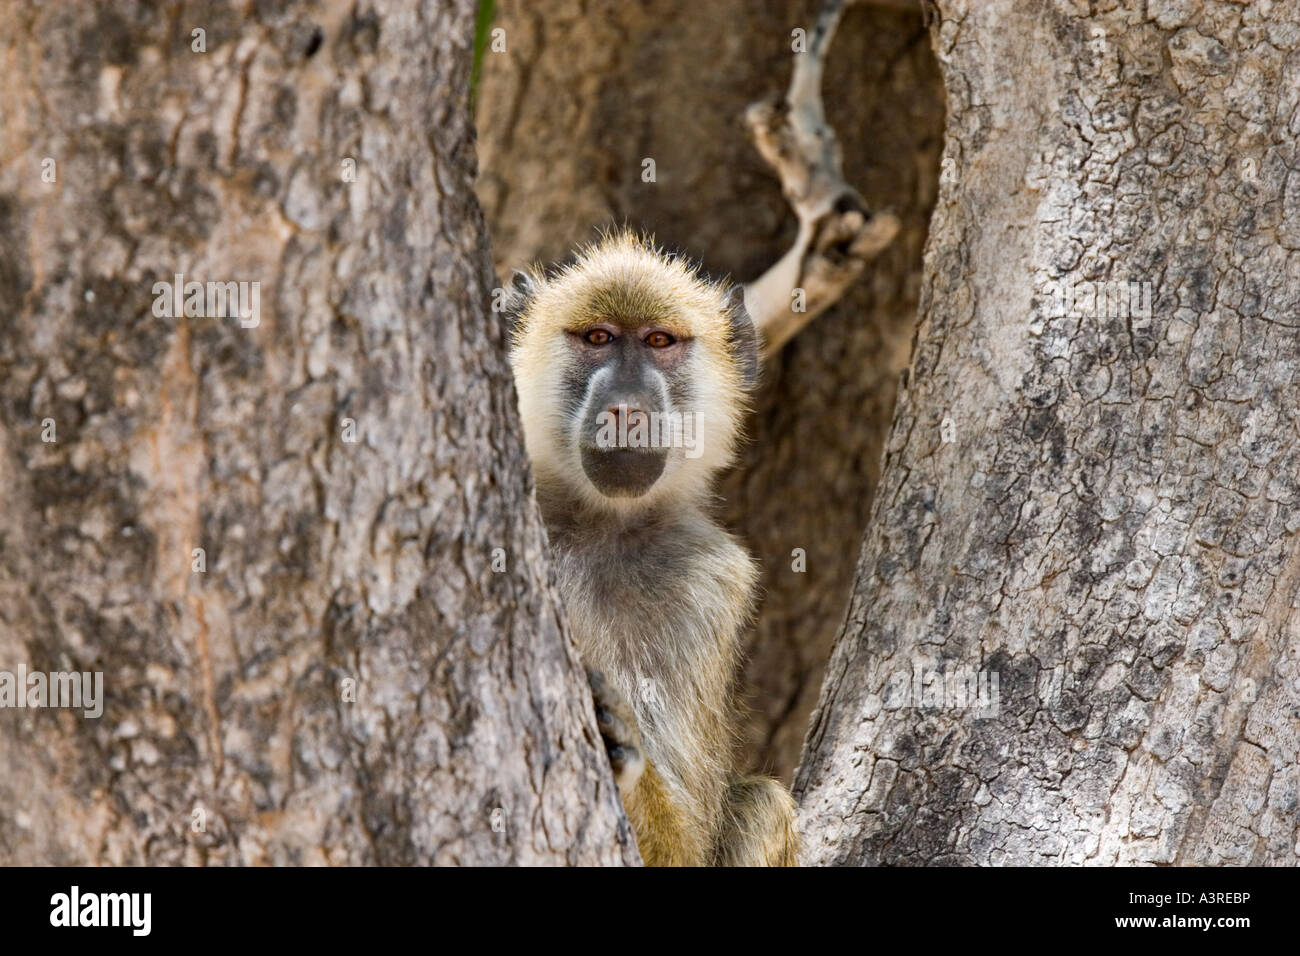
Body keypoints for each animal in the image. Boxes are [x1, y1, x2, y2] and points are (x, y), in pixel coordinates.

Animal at [504, 230, 797, 866]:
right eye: (599, 338)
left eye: (660, 341)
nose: (626, 410)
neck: (600, 524)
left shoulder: (707, 583)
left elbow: (687, 847)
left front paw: (625, 747)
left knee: (761, 803)